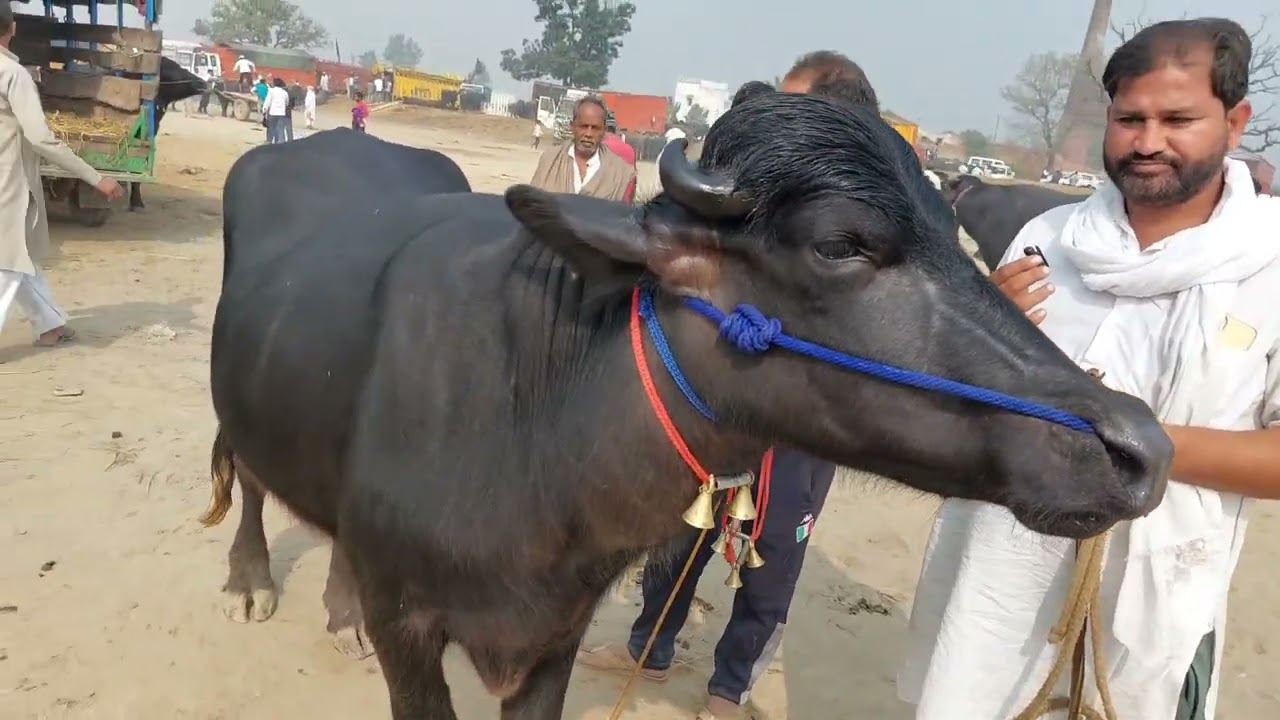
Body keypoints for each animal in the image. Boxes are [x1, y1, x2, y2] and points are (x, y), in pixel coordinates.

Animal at [203, 92, 1170, 718]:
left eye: (953, 232)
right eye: (840, 244)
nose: (1141, 449)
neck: (532, 427)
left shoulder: (555, 631)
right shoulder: (411, 630)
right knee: (248, 478)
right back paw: (250, 581)